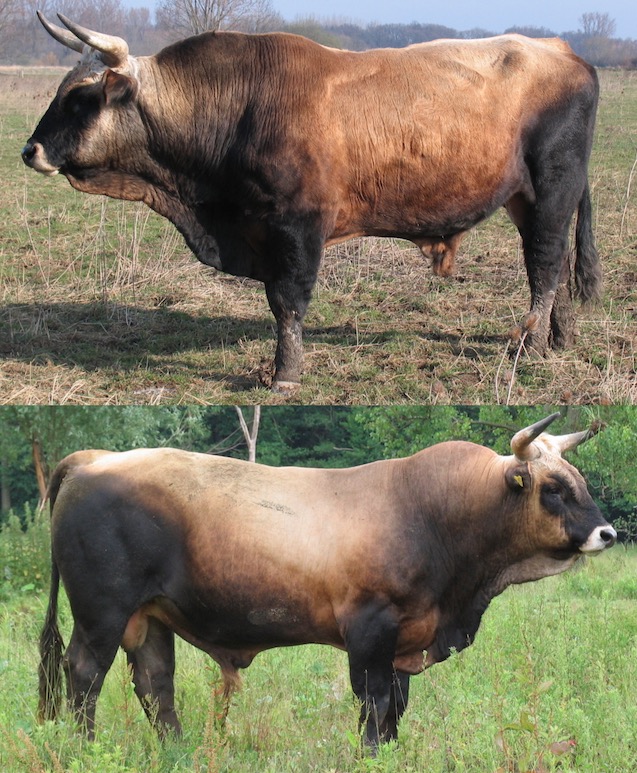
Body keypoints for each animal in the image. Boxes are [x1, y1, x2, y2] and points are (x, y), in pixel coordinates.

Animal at [22, 15, 601, 393]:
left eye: (82, 97)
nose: (30, 150)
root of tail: (564, 50)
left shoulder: (296, 229)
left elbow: (288, 303)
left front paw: (284, 374)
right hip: (531, 199)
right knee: (554, 264)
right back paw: (558, 339)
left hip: (552, 189)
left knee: (546, 264)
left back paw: (529, 342)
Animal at [38, 412, 615, 750]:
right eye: (553, 488)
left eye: (580, 481)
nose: (607, 533)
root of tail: (94, 458)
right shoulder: (370, 629)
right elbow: (373, 702)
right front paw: (370, 754)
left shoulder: (404, 637)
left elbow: (396, 704)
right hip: (102, 613)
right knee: (84, 674)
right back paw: (86, 750)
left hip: (150, 614)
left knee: (155, 681)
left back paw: (178, 753)